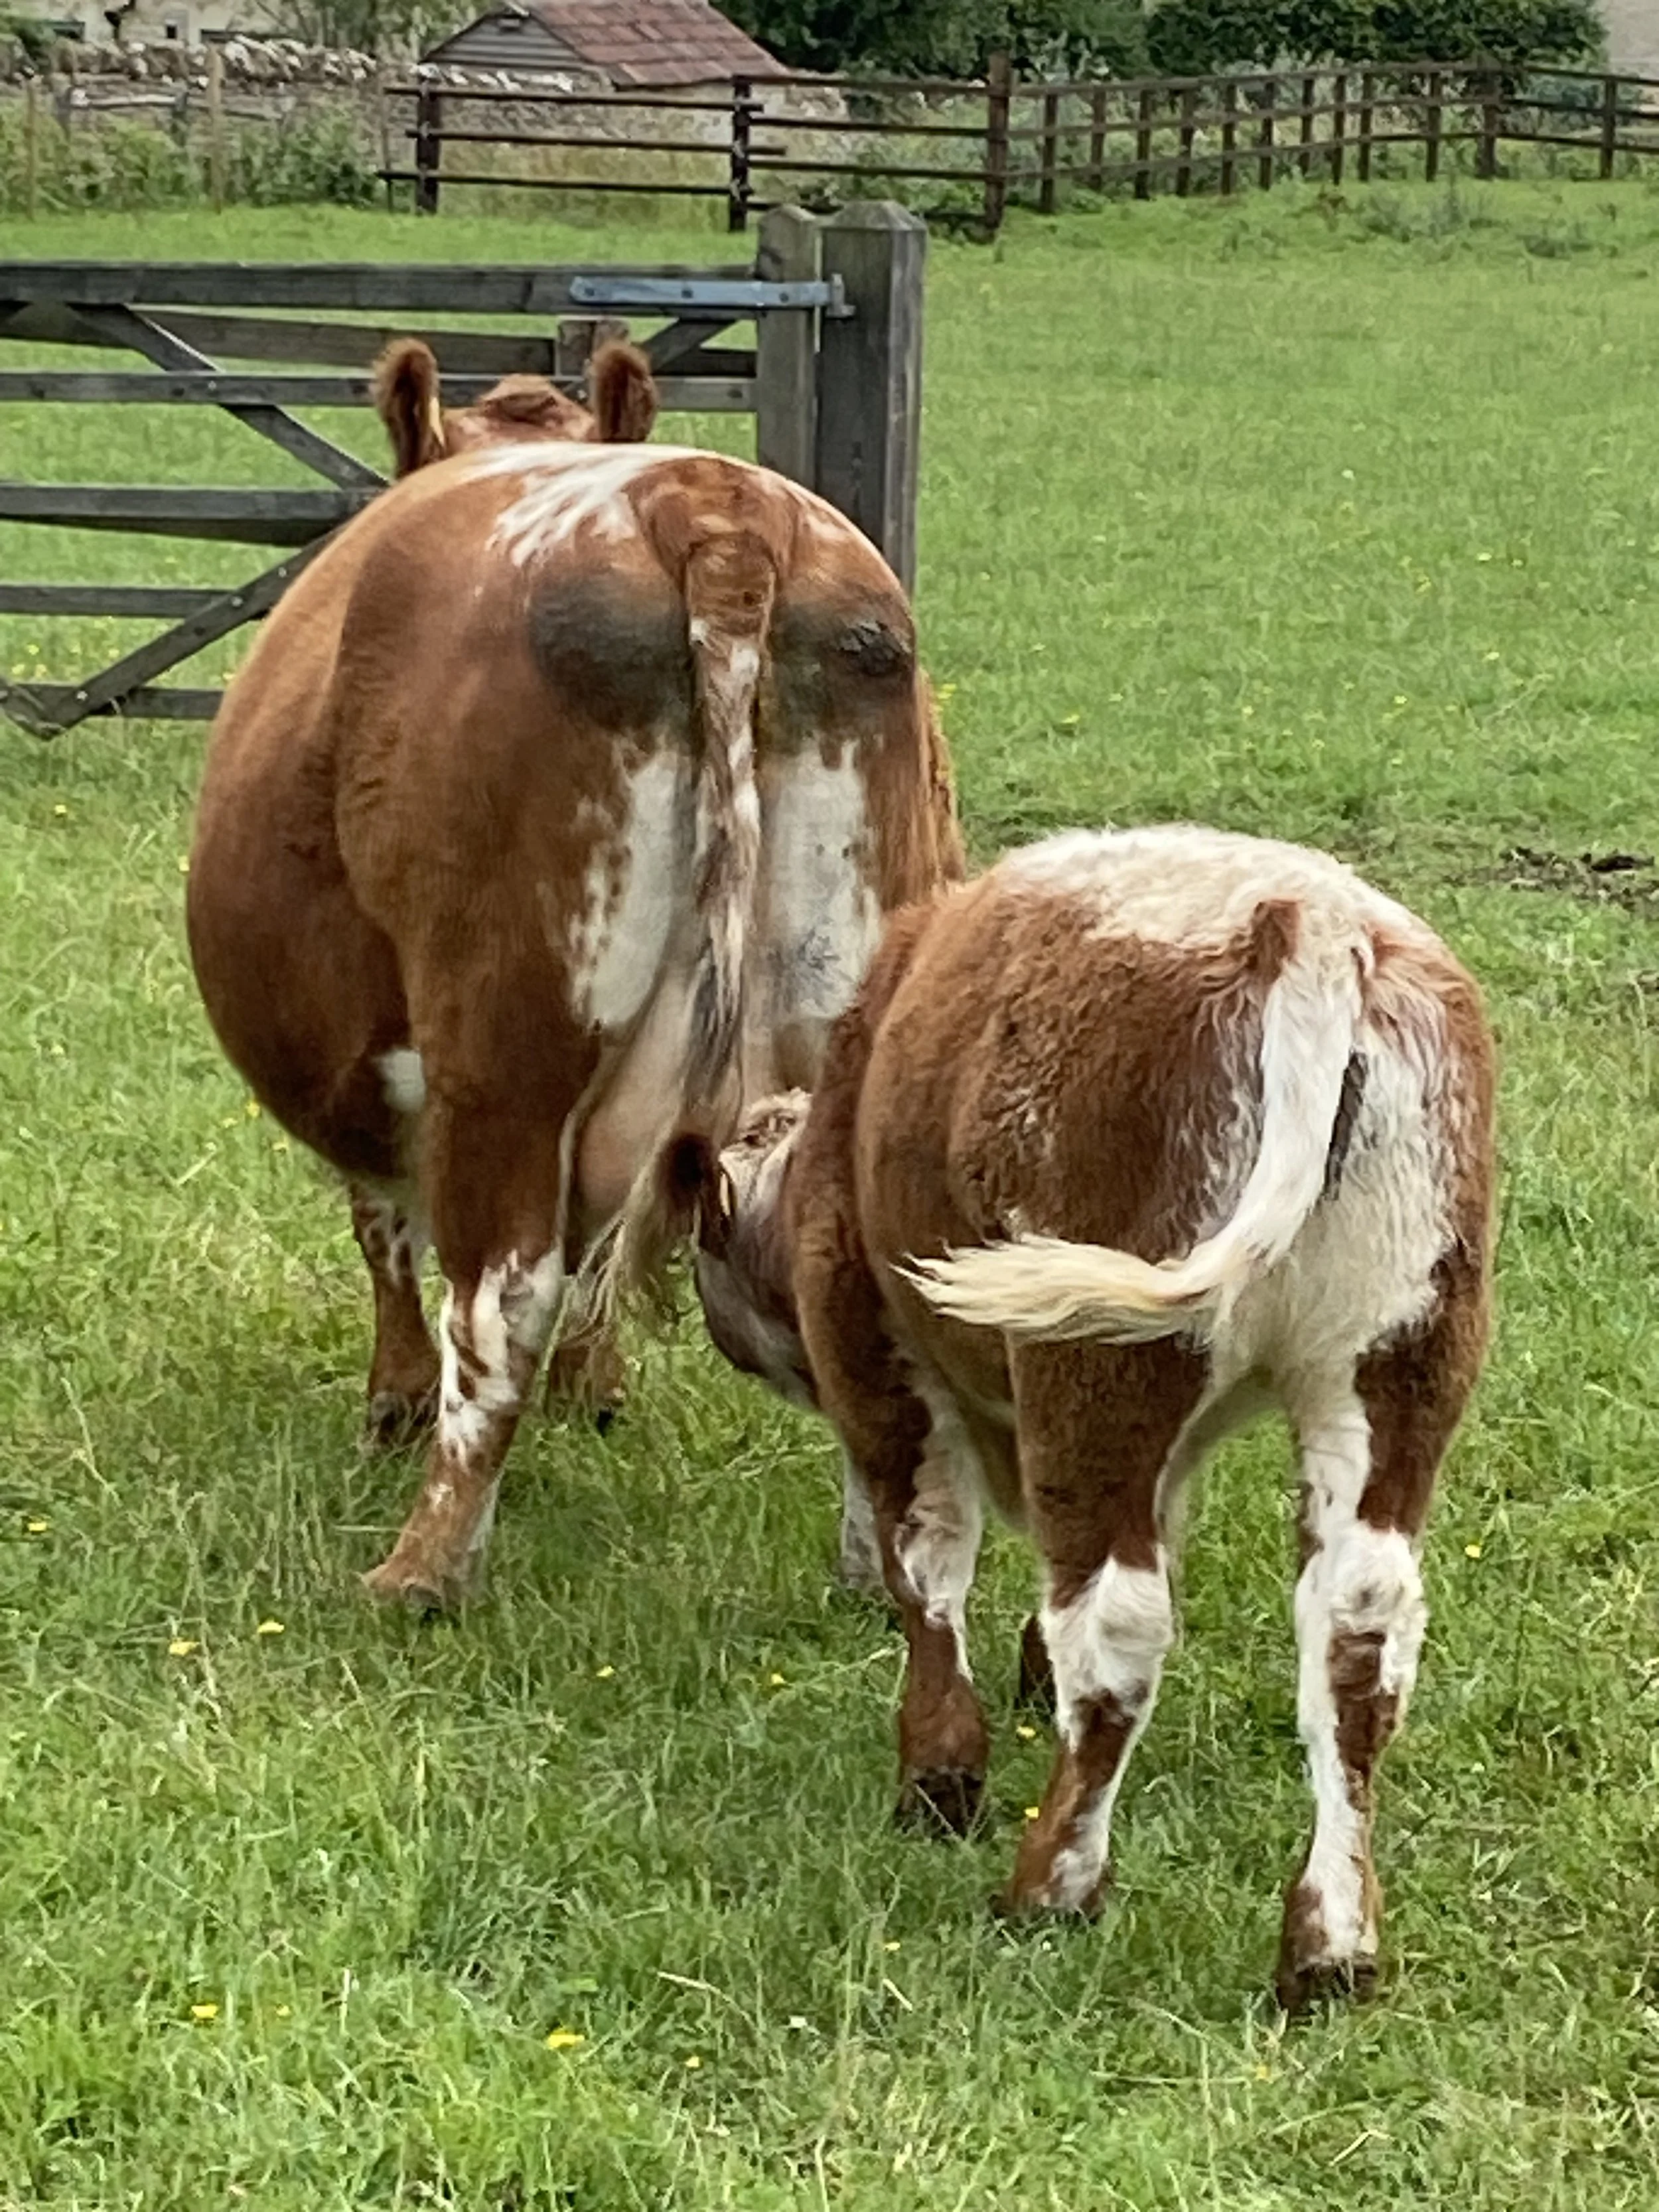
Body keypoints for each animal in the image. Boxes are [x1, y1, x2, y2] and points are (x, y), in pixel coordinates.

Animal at [186, 434, 963, 1612]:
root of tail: (711, 504)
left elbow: (387, 1231)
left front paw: (397, 1401)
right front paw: (592, 1389)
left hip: (505, 1059)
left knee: (500, 1298)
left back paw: (422, 1574)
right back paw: (876, 1575)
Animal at [676, 824, 1496, 2009]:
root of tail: (1308, 919)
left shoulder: (870, 1343)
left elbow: (925, 1560)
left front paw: (940, 1774)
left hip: (1093, 1359)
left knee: (1117, 1622)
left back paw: (1053, 1883)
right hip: (1393, 1364)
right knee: (1360, 1635)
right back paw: (1330, 1946)